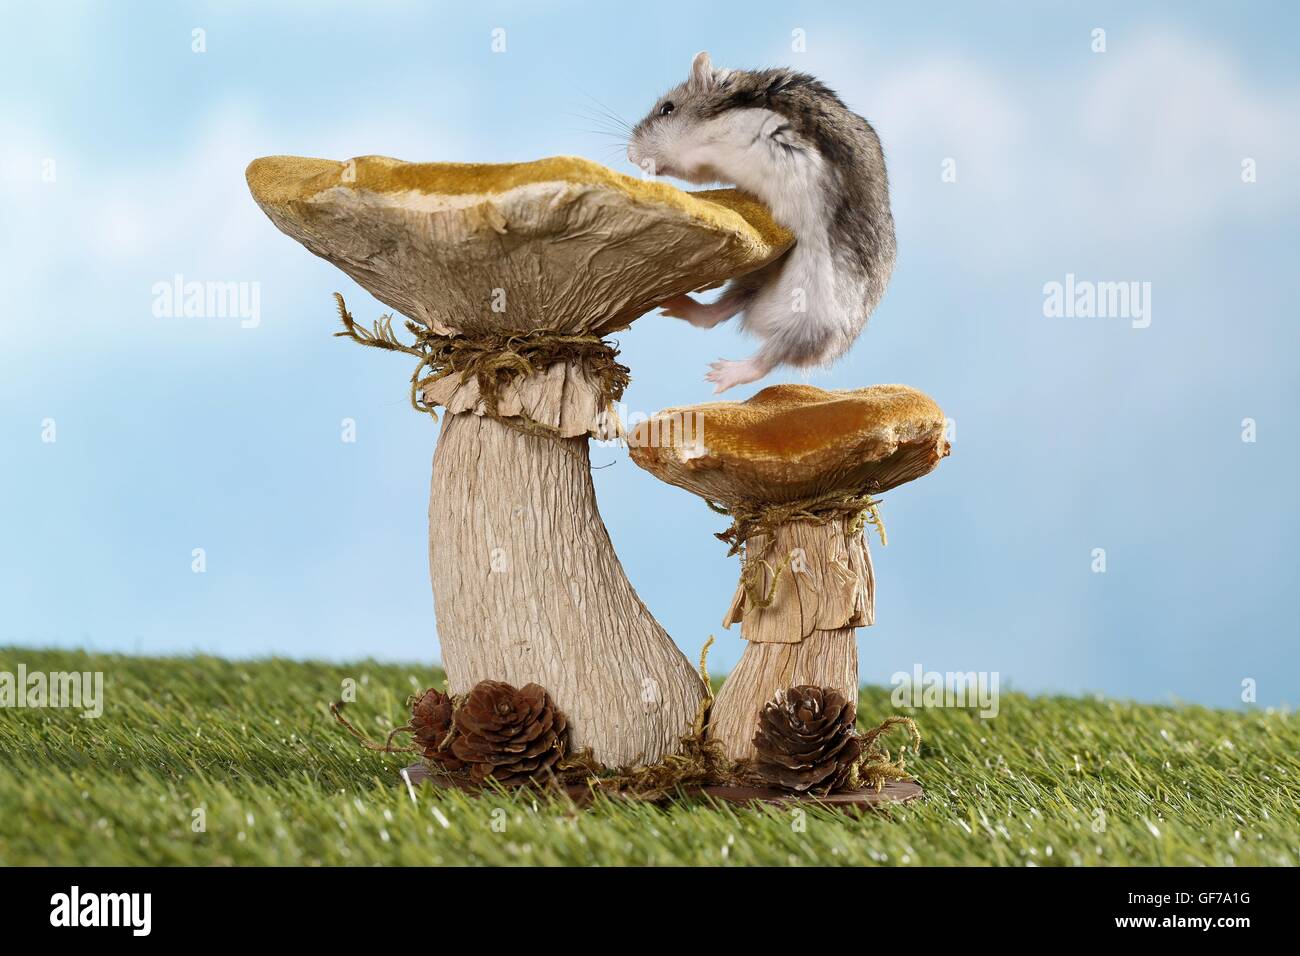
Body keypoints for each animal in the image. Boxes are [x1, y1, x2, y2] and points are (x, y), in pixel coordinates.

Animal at [627, 51, 896, 393]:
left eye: (667, 109)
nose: (630, 155)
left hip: (806, 314)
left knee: (768, 359)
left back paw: (721, 375)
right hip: (759, 274)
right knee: (720, 312)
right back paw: (676, 304)